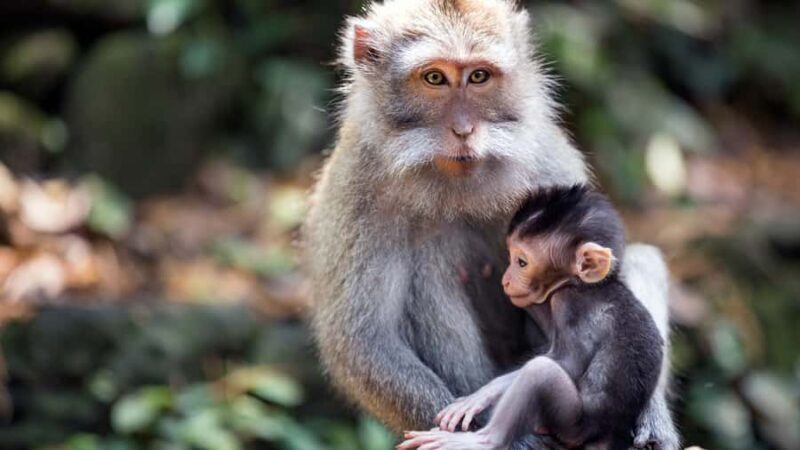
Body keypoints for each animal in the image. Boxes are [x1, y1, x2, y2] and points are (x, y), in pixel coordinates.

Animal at [397, 185, 663, 450]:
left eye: (522, 262)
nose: (506, 280)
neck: (588, 286)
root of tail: (606, 435)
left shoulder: (569, 305)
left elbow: (565, 361)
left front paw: (482, 394)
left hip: (574, 425)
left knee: (540, 372)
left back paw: (483, 440)